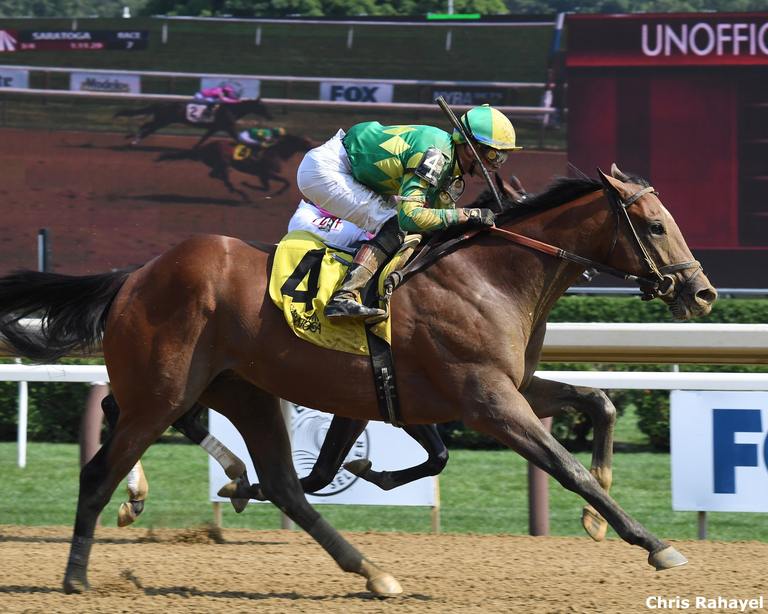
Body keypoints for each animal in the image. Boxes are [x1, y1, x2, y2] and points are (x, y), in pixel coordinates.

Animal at [0, 165, 717, 597]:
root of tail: (138, 275)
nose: (703, 292)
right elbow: (561, 465)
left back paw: (368, 569)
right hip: (162, 388)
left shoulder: (505, 384)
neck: (491, 273)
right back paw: (78, 575)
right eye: (655, 224)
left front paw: (599, 513)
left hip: (236, 390)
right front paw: (654, 544)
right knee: (103, 467)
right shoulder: (486, 399)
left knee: (282, 483)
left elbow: (599, 401)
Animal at [114, 98, 272, 147]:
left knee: (146, 126)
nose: (270, 116)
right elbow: (238, 138)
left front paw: (195, 147)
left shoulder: (216, 127)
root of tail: (160, 104)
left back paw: (133, 138)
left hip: (161, 120)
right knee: (146, 128)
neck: (231, 109)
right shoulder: (228, 126)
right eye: (262, 107)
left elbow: (204, 138)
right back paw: (134, 140)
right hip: (162, 120)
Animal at [156, 135, 314, 200]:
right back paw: (239, 192)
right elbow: (273, 186)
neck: (276, 152)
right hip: (223, 162)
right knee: (221, 176)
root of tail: (206, 147)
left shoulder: (264, 175)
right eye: (306, 141)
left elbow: (277, 185)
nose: (314, 146)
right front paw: (246, 185)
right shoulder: (265, 174)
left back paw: (234, 189)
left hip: (219, 164)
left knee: (215, 175)